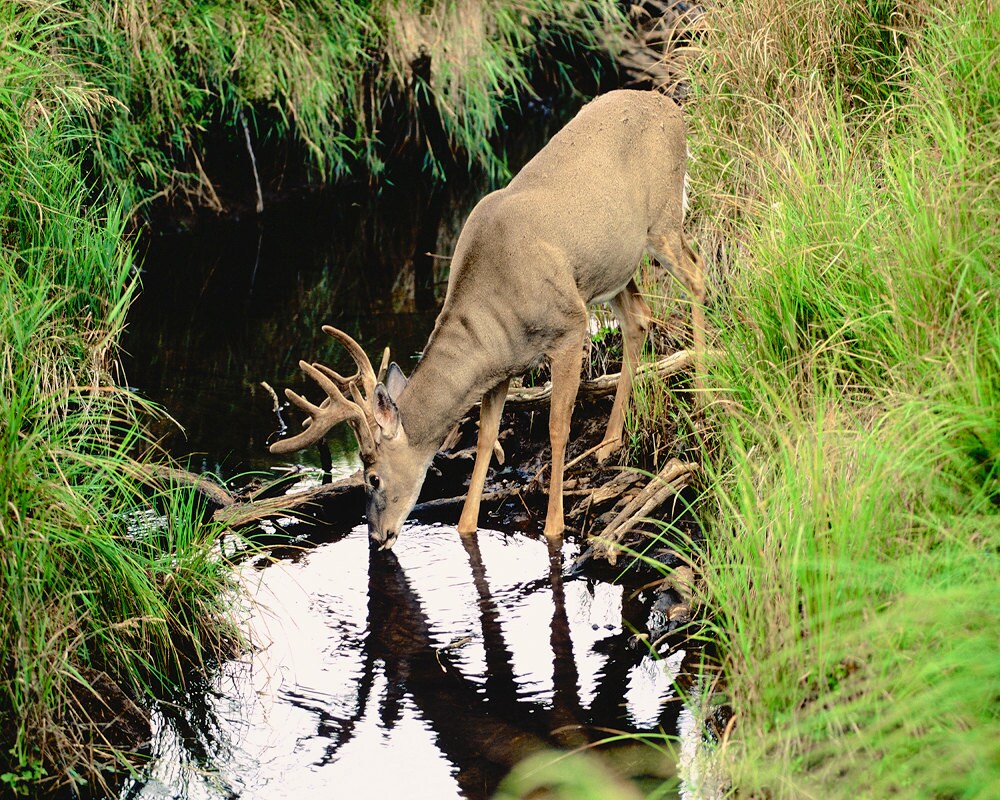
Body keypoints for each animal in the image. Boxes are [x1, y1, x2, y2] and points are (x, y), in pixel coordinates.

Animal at [269, 89, 705, 551]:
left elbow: (557, 427)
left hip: (662, 220)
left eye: (372, 478)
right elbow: (484, 439)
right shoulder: (501, 366)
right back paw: (610, 442)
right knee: (639, 317)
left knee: (697, 275)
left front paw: (554, 528)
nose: (375, 538)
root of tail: (671, 109)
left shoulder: (569, 325)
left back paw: (703, 390)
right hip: (611, 265)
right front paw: (466, 527)